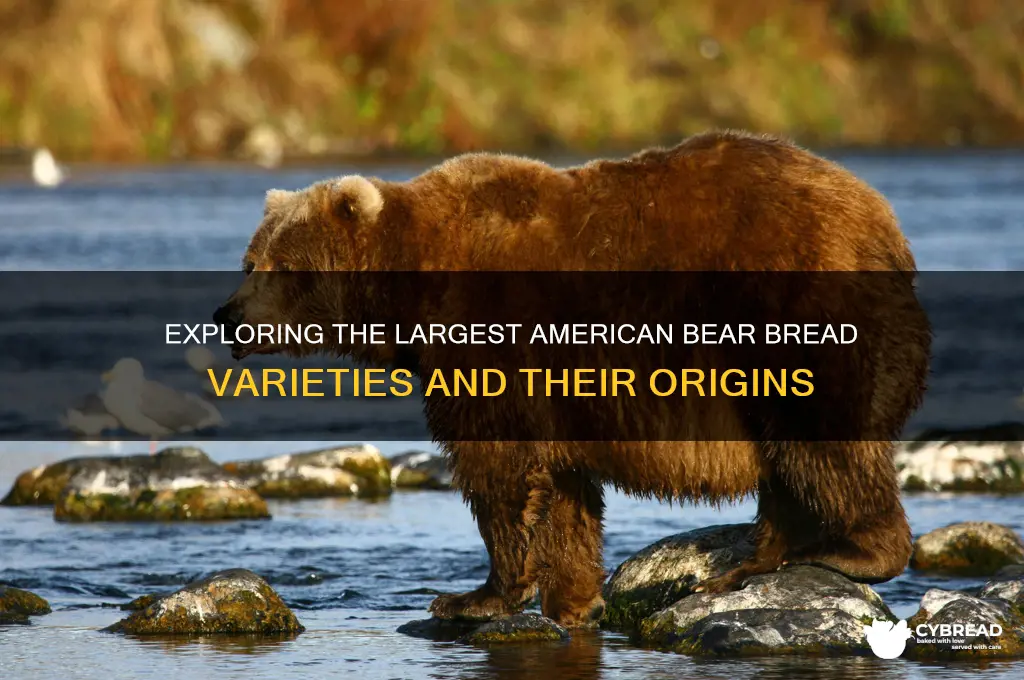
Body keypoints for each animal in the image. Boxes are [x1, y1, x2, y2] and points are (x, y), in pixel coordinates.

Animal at [214, 130, 931, 628]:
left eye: (279, 266)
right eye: (249, 259)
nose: (228, 316)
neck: (412, 290)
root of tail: (885, 224)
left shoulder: (494, 336)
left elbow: (498, 471)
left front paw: (473, 596)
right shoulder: (557, 395)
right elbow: (562, 488)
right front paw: (573, 599)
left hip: (790, 316)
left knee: (819, 440)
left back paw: (850, 551)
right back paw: (744, 567)